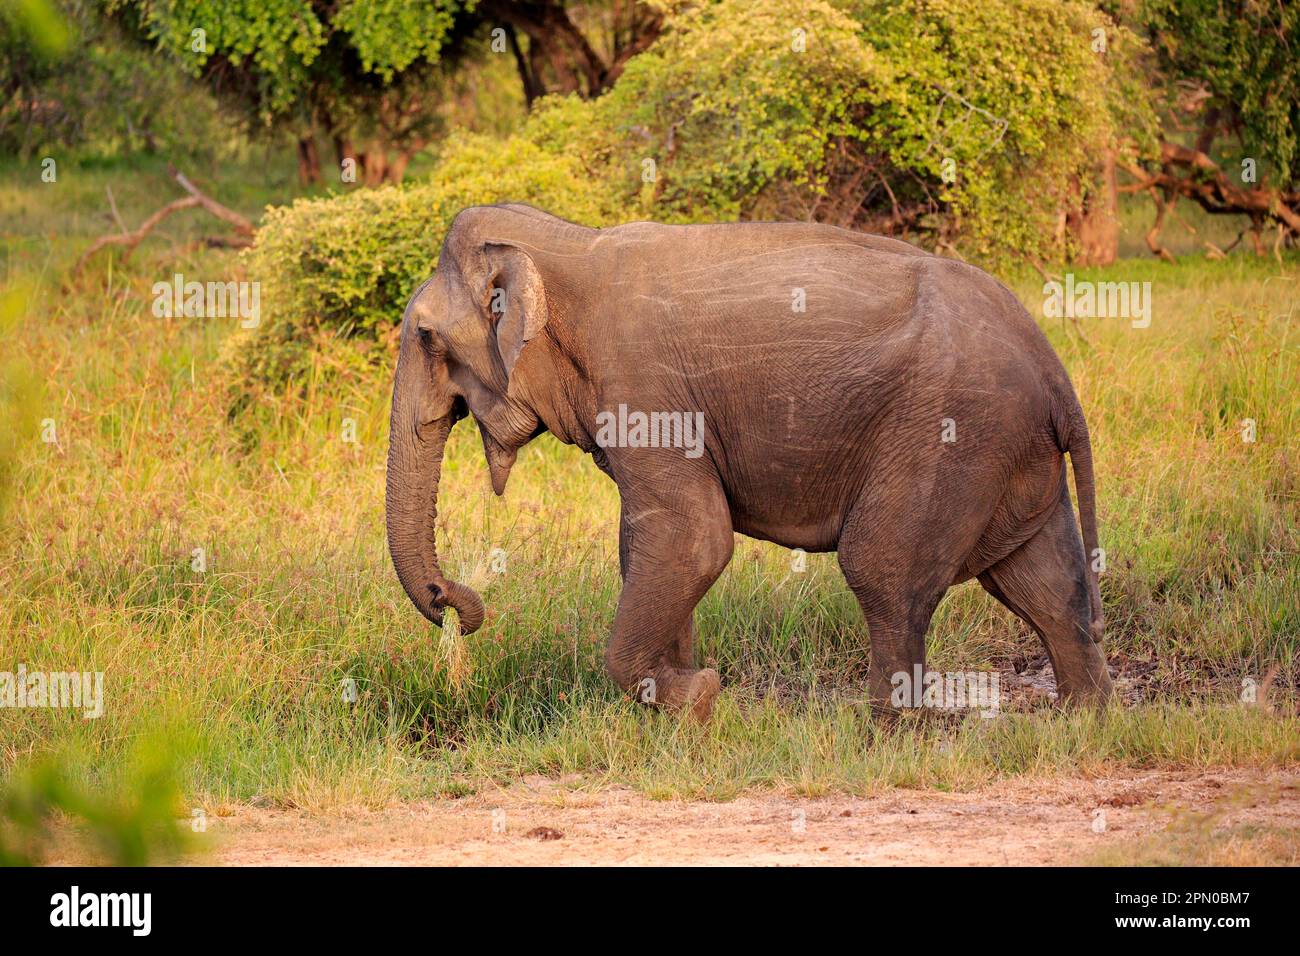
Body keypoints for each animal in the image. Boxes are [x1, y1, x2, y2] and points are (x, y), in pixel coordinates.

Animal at [385, 203, 1113, 721]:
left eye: (424, 336)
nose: (455, 603)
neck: (565, 243)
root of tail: (1055, 372)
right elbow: (652, 544)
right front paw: (680, 709)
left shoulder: (643, 387)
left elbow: (695, 536)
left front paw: (699, 695)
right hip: (1007, 454)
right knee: (1043, 584)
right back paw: (1082, 724)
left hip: (950, 434)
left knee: (884, 569)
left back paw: (884, 739)